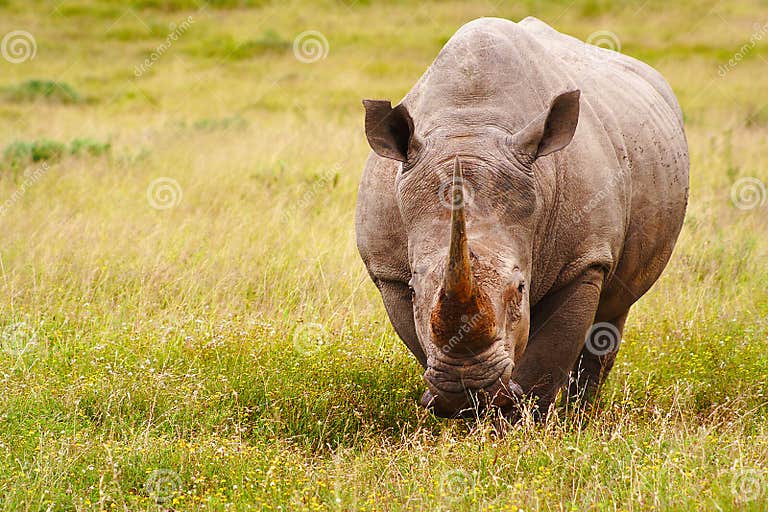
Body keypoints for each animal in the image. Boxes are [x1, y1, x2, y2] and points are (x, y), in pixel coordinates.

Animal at [355, 17, 689, 420]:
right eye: (414, 289)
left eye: (520, 288)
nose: (465, 389)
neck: (470, 127)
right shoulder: (388, 271)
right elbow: (423, 338)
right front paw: (476, 418)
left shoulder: (583, 261)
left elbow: (547, 361)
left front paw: (521, 423)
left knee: (612, 313)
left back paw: (580, 418)